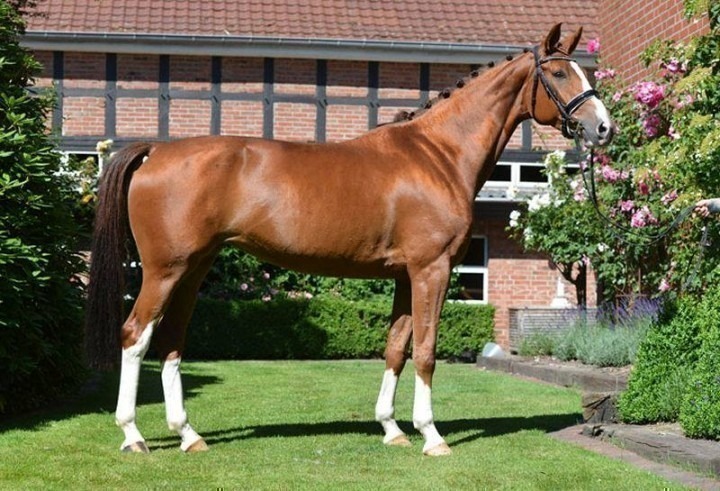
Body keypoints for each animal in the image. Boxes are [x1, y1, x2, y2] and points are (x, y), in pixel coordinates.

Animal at [85, 23, 614, 456]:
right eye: (560, 73)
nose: (603, 127)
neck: (439, 154)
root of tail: (156, 150)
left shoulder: (405, 275)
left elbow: (396, 347)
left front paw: (393, 429)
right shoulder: (432, 270)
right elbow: (426, 350)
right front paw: (432, 436)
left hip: (193, 270)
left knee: (171, 340)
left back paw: (188, 435)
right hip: (165, 270)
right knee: (135, 336)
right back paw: (133, 435)